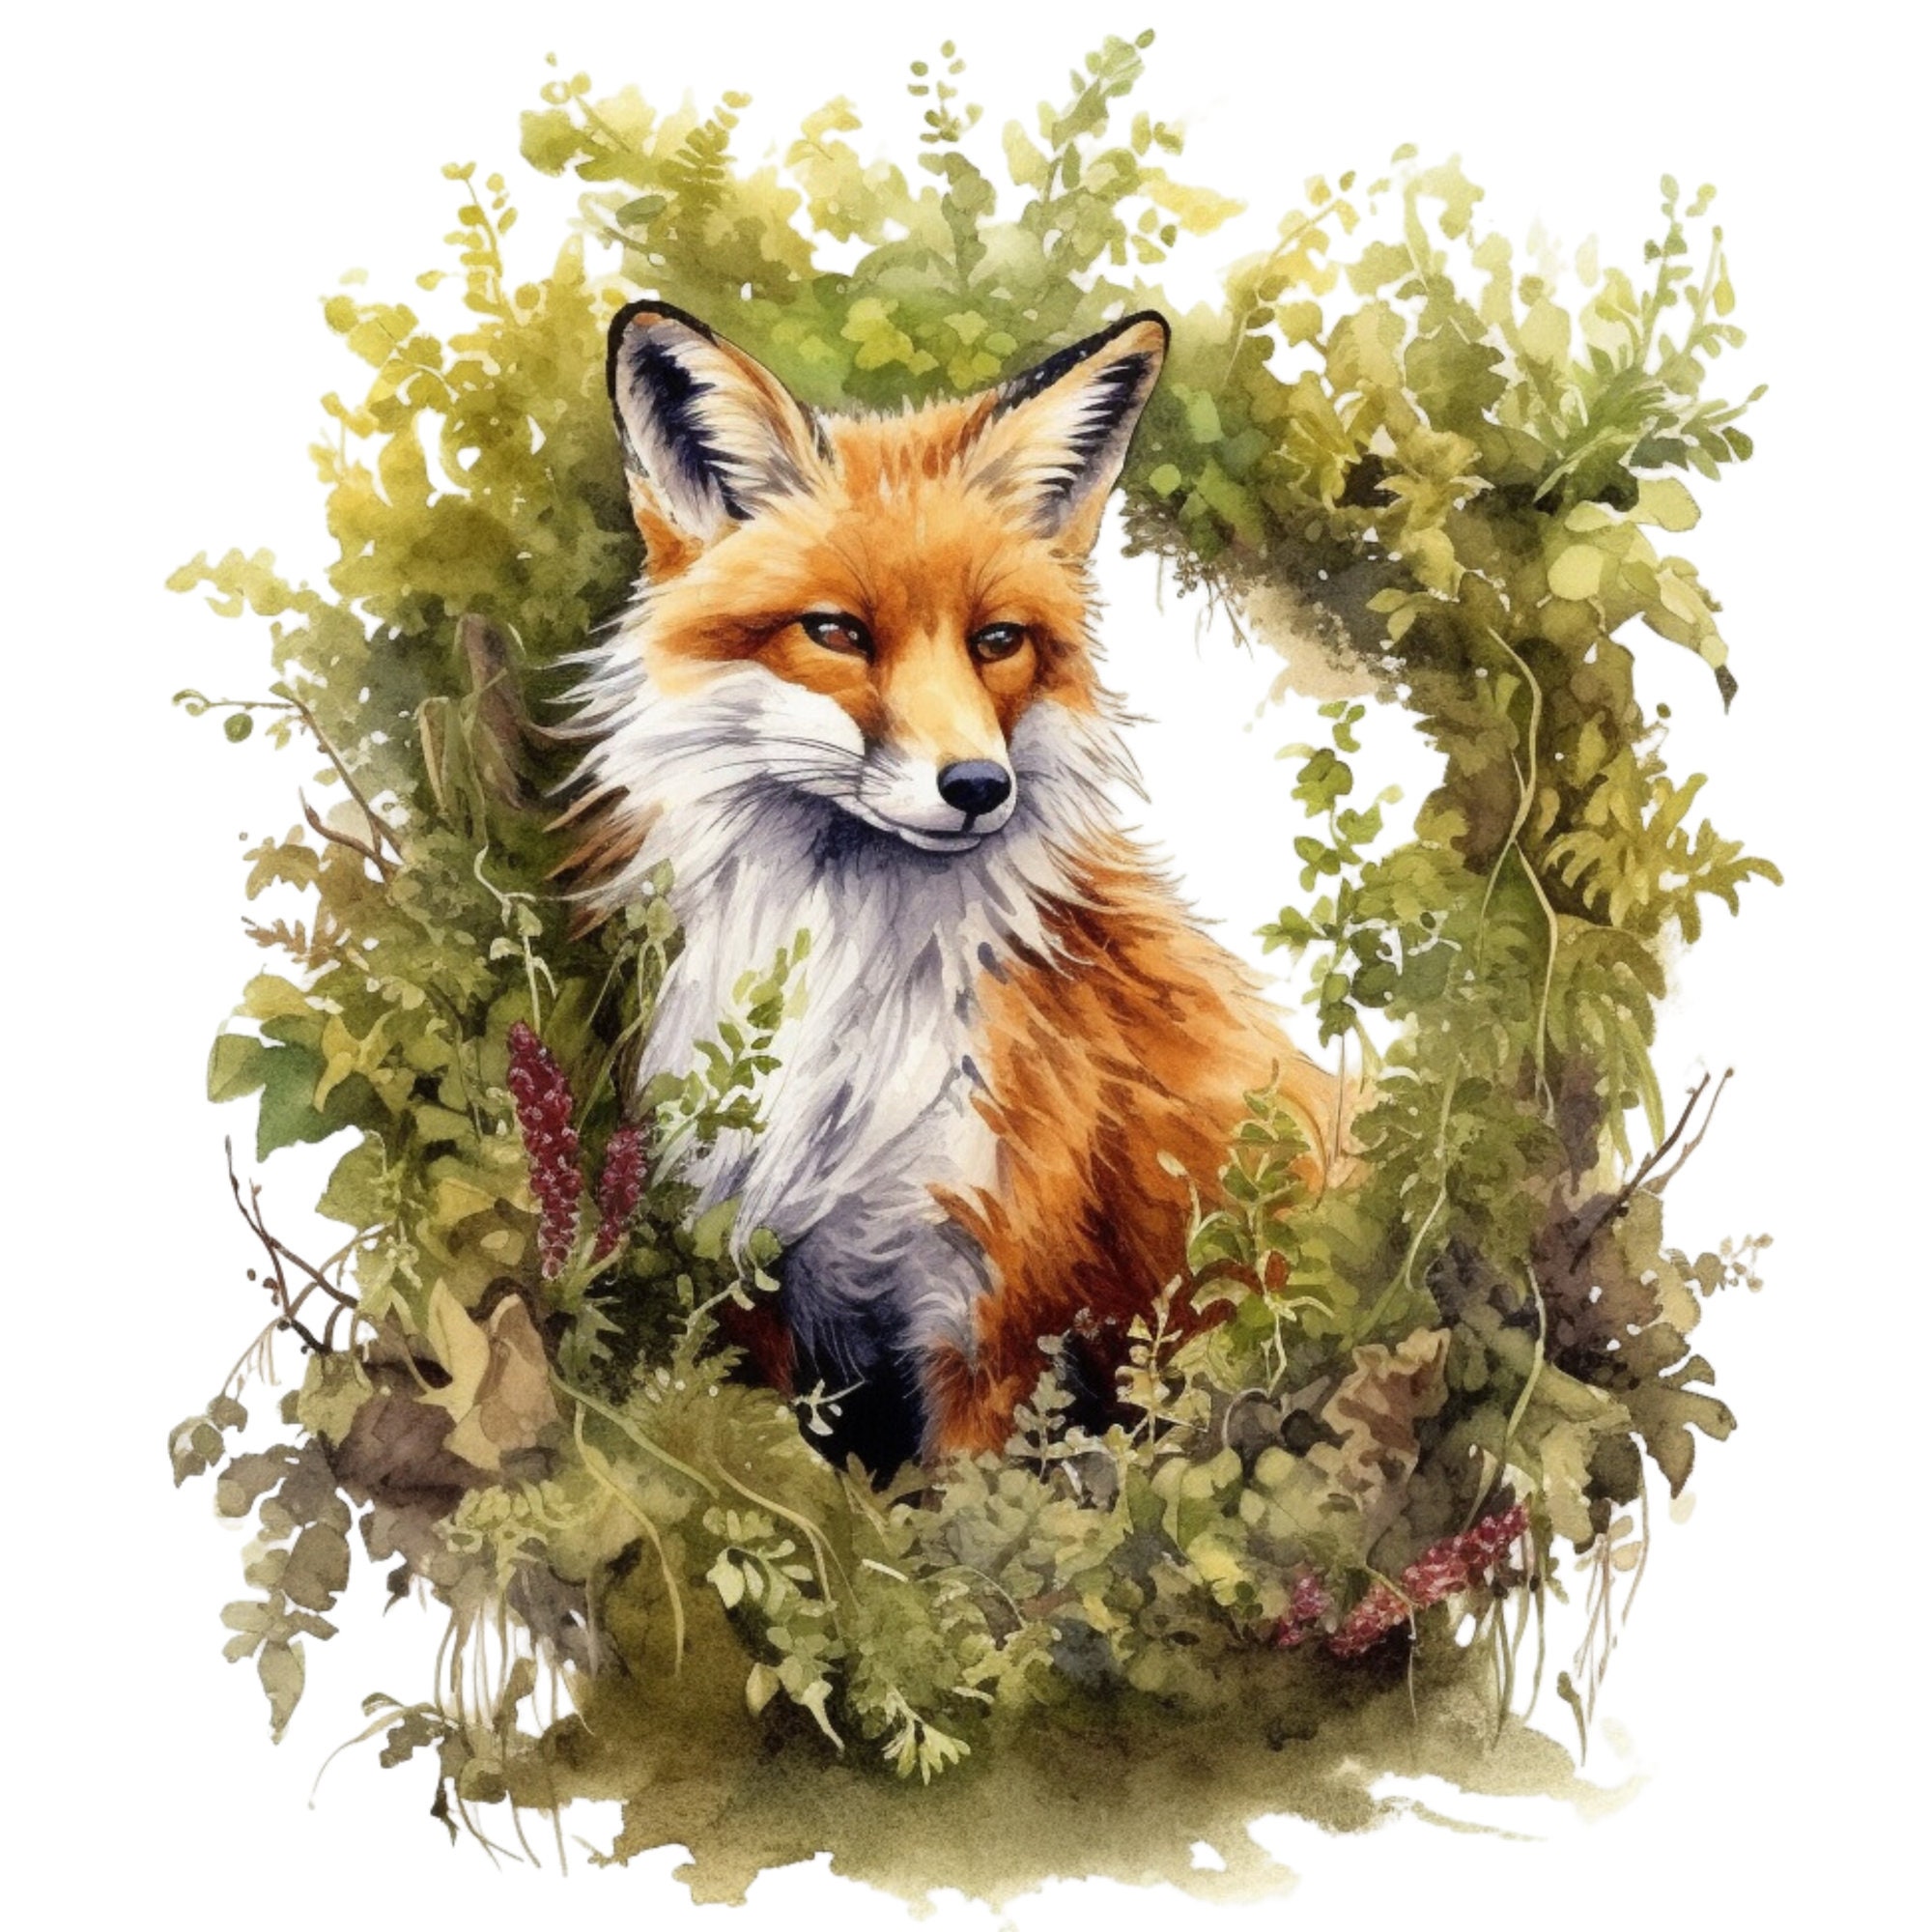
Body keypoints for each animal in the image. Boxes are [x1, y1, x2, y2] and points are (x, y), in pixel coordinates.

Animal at [564, 298, 1338, 1475]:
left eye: (996, 641)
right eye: (836, 631)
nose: (978, 786)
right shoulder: (751, 1277)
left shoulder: (985, 1317)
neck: (849, 1025)